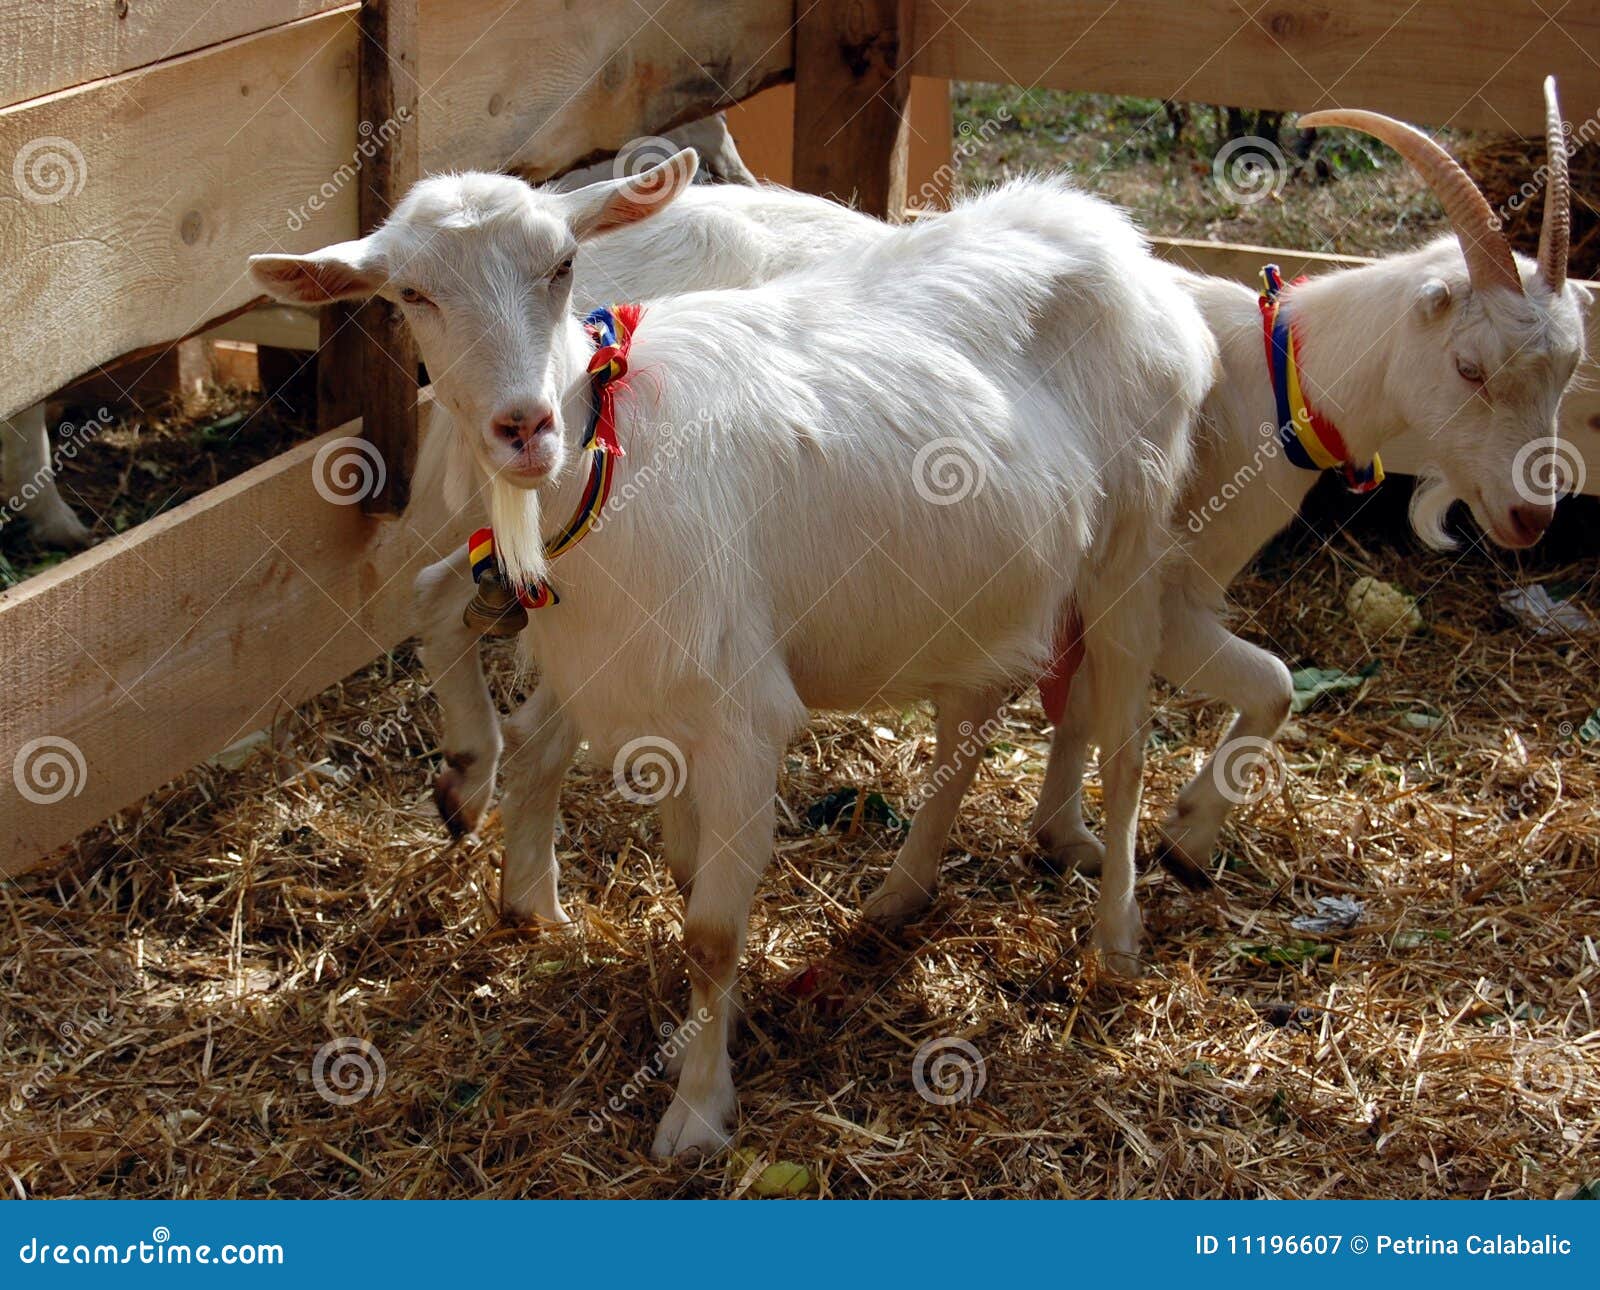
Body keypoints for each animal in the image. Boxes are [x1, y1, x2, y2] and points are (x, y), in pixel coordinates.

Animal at [250, 152, 1217, 1155]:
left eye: (563, 266)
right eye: (411, 293)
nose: (524, 428)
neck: (608, 465)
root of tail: (1100, 226)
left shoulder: (743, 715)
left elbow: (711, 932)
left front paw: (696, 1113)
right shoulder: (643, 692)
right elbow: (682, 877)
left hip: (1130, 542)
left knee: (1126, 742)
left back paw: (1116, 934)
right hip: (984, 583)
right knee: (969, 719)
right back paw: (900, 894)